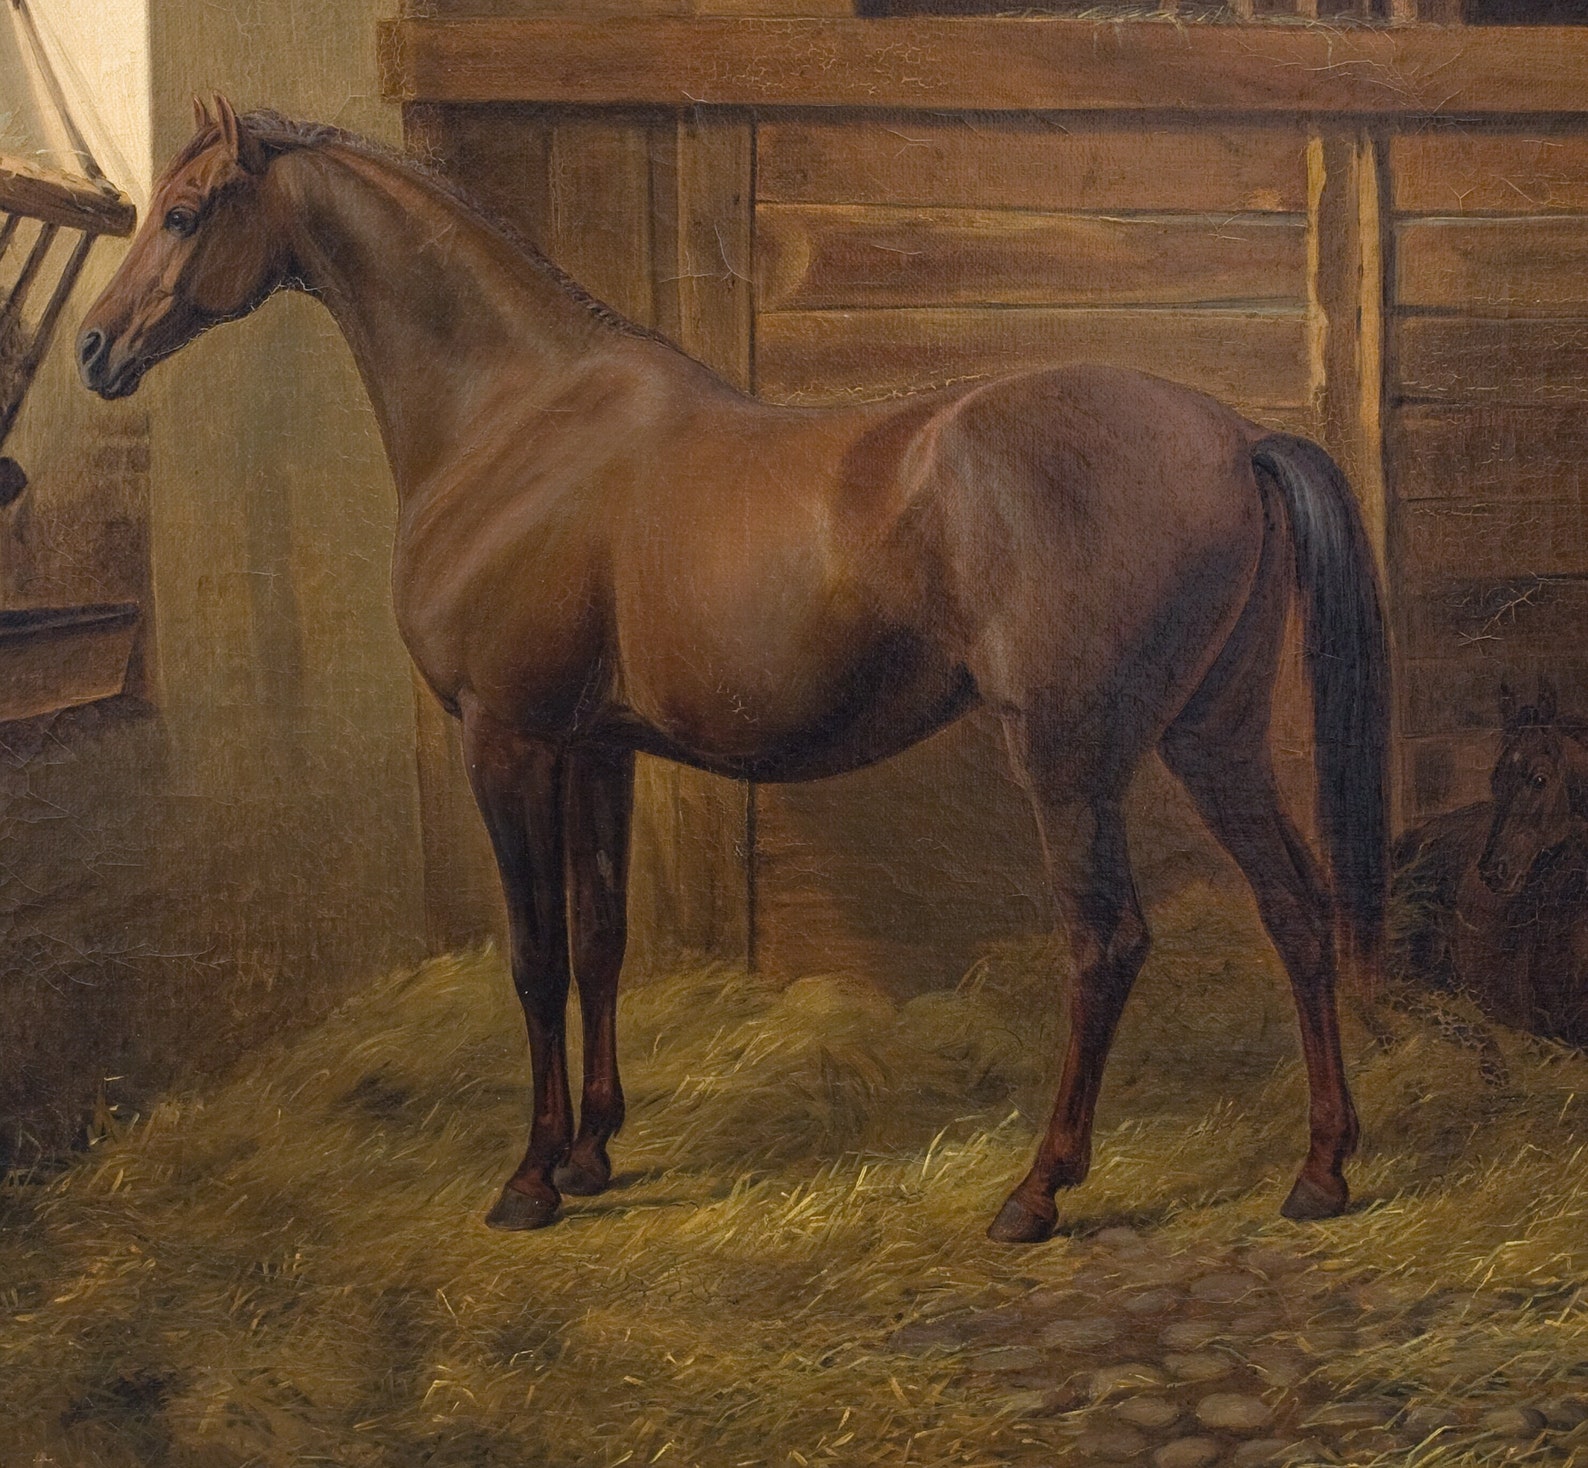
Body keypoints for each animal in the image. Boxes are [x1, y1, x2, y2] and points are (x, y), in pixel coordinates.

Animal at [77, 95, 1389, 1245]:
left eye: (184, 212)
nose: (94, 350)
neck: (517, 419)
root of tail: (1236, 435)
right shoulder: (595, 748)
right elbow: (601, 936)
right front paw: (592, 1152)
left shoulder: (505, 738)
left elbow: (534, 954)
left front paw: (529, 1180)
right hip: (1211, 739)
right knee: (1296, 906)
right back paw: (1319, 1169)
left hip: (1072, 760)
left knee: (1105, 943)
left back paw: (1035, 1192)